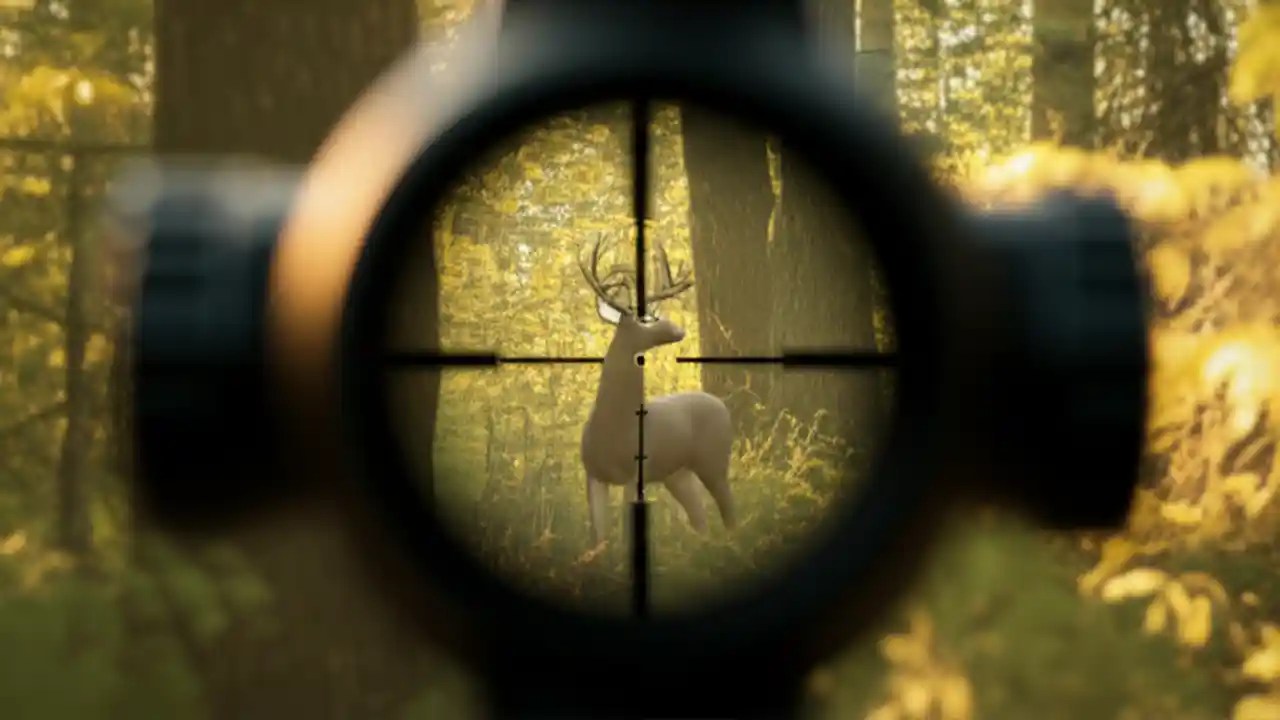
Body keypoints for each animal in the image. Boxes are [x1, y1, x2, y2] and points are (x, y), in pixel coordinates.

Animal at [577, 234, 735, 546]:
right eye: (645, 318)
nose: (678, 330)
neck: (613, 426)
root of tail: (721, 404)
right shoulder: (592, 473)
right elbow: (598, 540)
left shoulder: (633, 473)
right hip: (678, 474)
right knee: (700, 518)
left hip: (714, 460)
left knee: (729, 512)